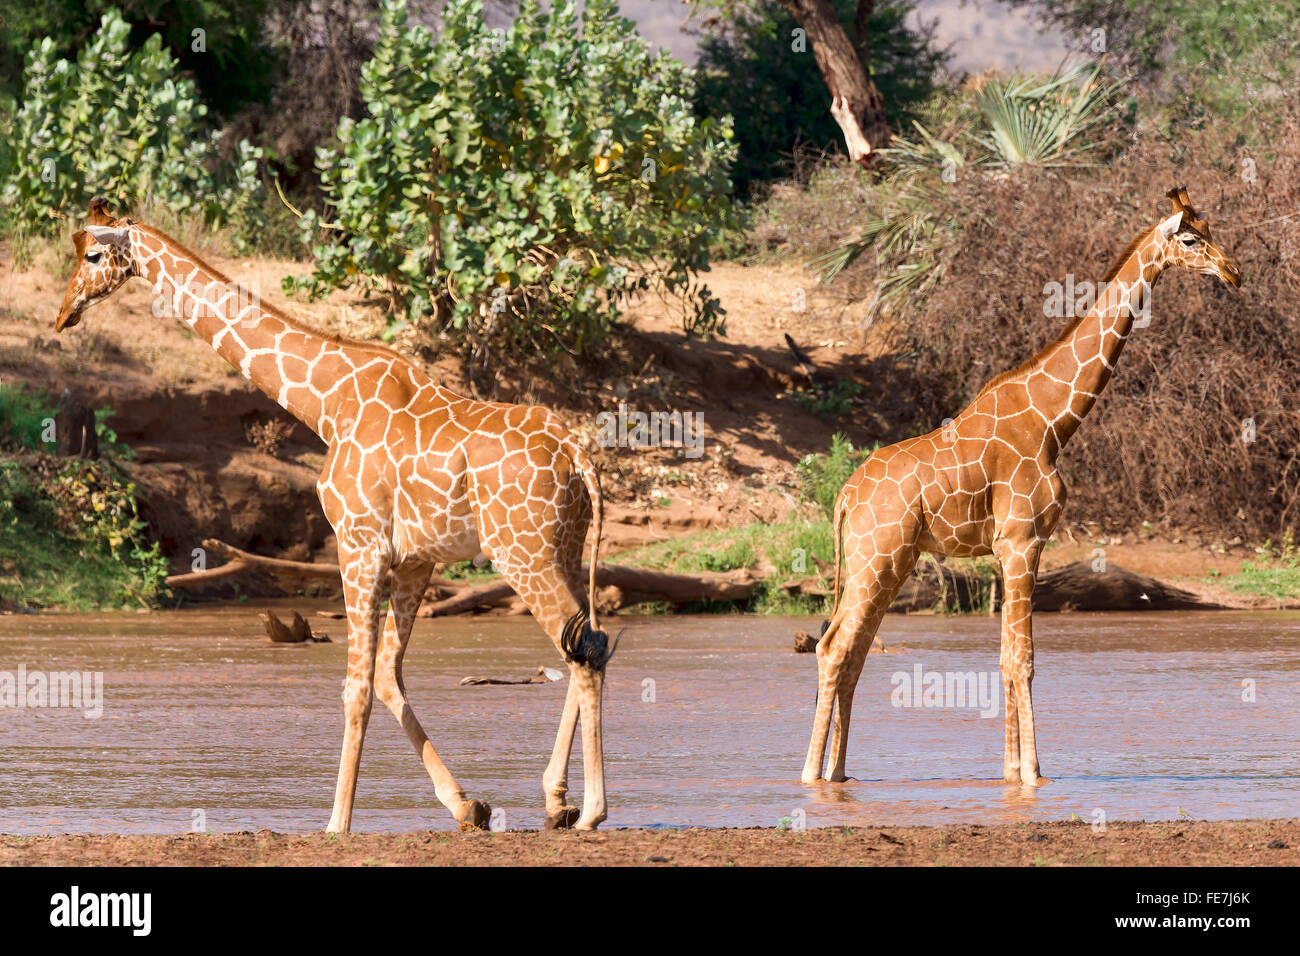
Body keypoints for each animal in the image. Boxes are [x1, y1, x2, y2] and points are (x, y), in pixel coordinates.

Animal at [55, 197, 617, 832]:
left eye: (92, 254)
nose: (65, 312)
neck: (325, 404)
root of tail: (577, 455)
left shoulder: (358, 543)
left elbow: (357, 688)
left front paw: (336, 824)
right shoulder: (415, 558)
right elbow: (389, 677)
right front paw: (467, 805)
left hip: (522, 551)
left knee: (584, 650)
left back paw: (592, 811)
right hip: (562, 547)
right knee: (581, 641)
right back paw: (556, 801)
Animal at [804, 186, 1242, 787]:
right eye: (1193, 238)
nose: (1234, 272)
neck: (1054, 419)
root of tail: (845, 497)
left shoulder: (1011, 548)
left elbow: (1006, 656)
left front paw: (1011, 772)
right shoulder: (1021, 541)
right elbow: (1023, 658)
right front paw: (1035, 773)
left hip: (888, 563)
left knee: (853, 650)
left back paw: (838, 774)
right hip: (877, 559)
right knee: (833, 647)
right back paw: (810, 776)